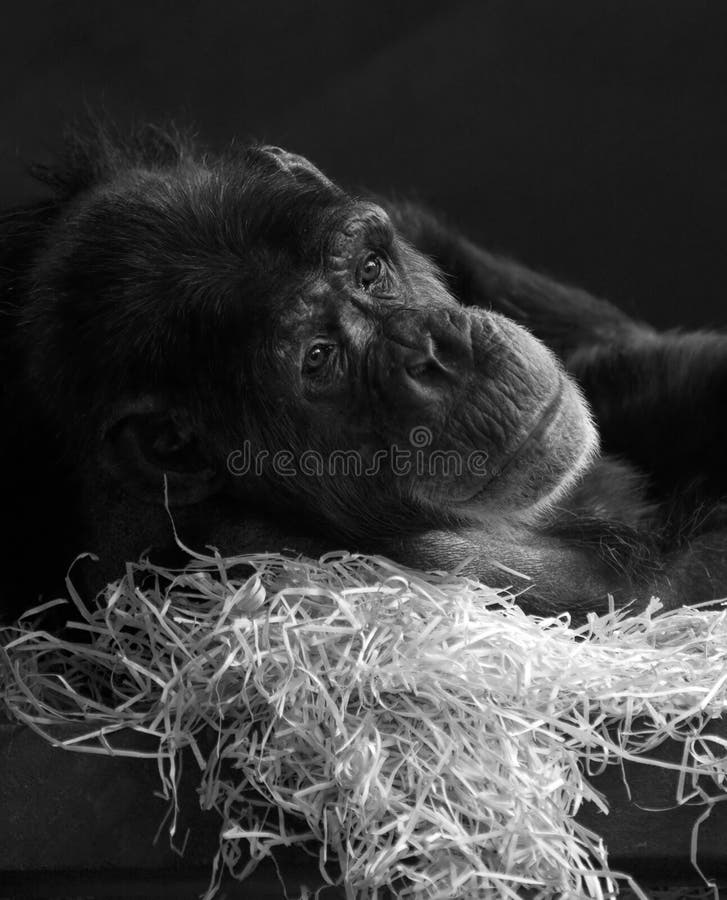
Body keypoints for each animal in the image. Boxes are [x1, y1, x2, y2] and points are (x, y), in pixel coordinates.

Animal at [0, 122, 725, 625]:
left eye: (369, 270)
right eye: (320, 358)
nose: (437, 353)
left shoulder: (416, 226)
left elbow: (620, 354)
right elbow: (666, 589)